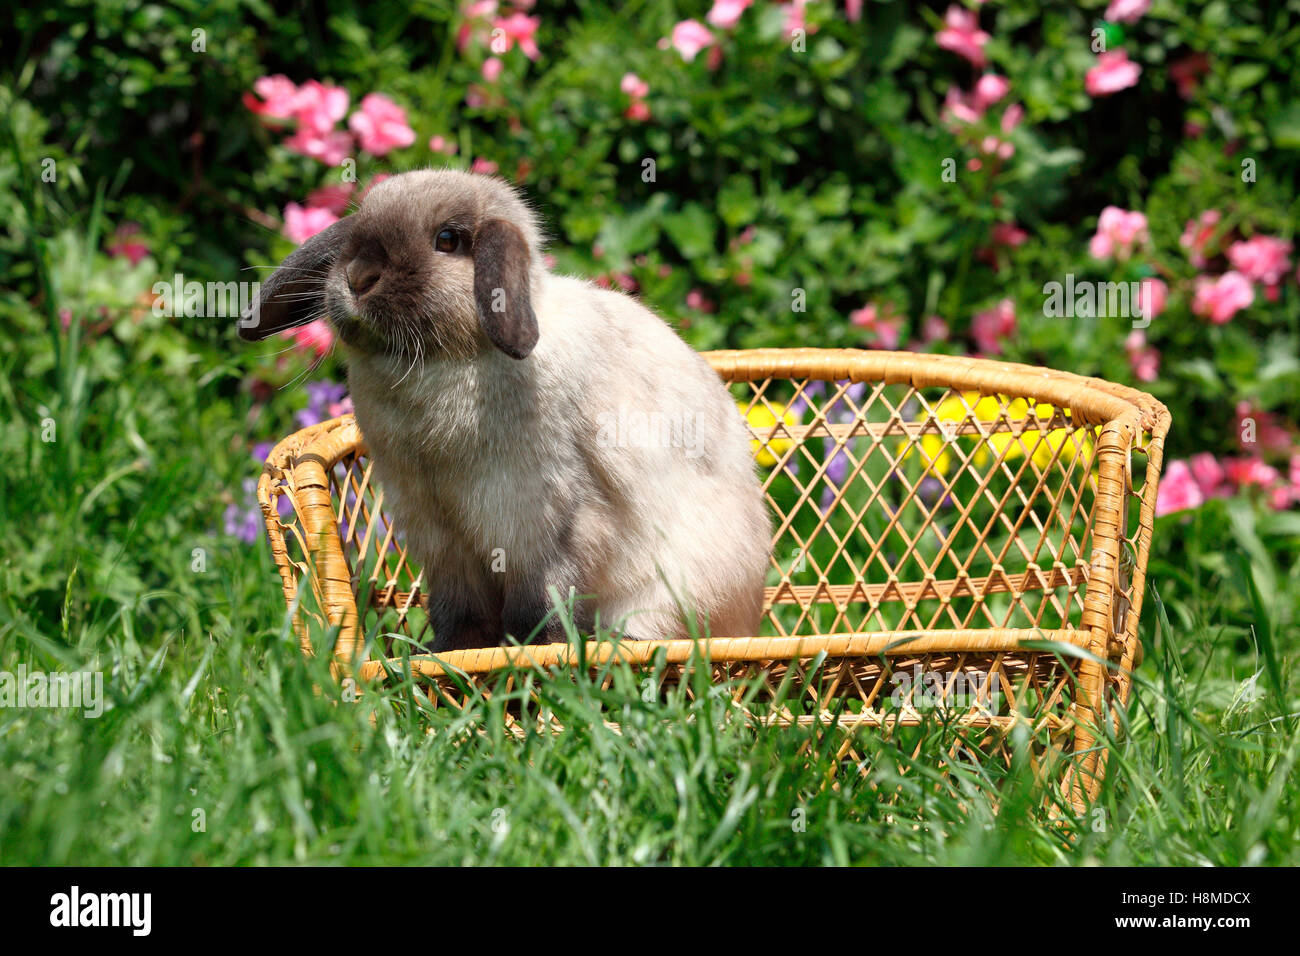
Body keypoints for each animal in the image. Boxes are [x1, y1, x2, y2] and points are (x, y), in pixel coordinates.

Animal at [241, 170, 769, 650]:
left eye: (448, 239)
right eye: (355, 230)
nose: (357, 277)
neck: (450, 358)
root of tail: (748, 615)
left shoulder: (541, 518)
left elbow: (540, 597)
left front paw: (531, 650)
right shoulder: (439, 536)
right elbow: (459, 608)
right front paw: (448, 652)